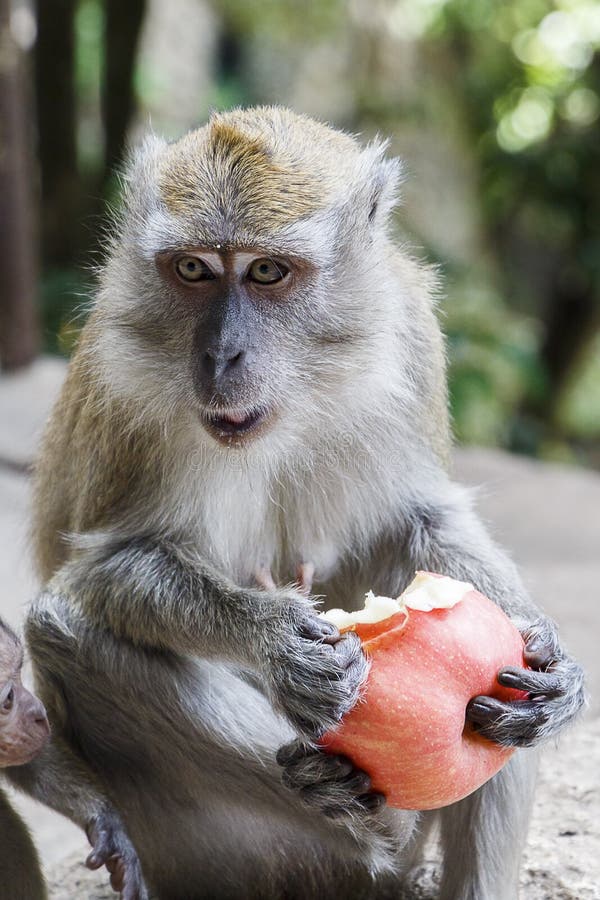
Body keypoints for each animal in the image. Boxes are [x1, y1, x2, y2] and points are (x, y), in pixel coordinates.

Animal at [17, 106, 584, 900]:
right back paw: (336, 796)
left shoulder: (406, 332)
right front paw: (276, 641)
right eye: (192, 269)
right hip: (207, 853)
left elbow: (425, 522)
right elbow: (95, 569)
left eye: (267, 271)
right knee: (61, 628)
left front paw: (552, 653)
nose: (220, 356)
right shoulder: (120, 378)